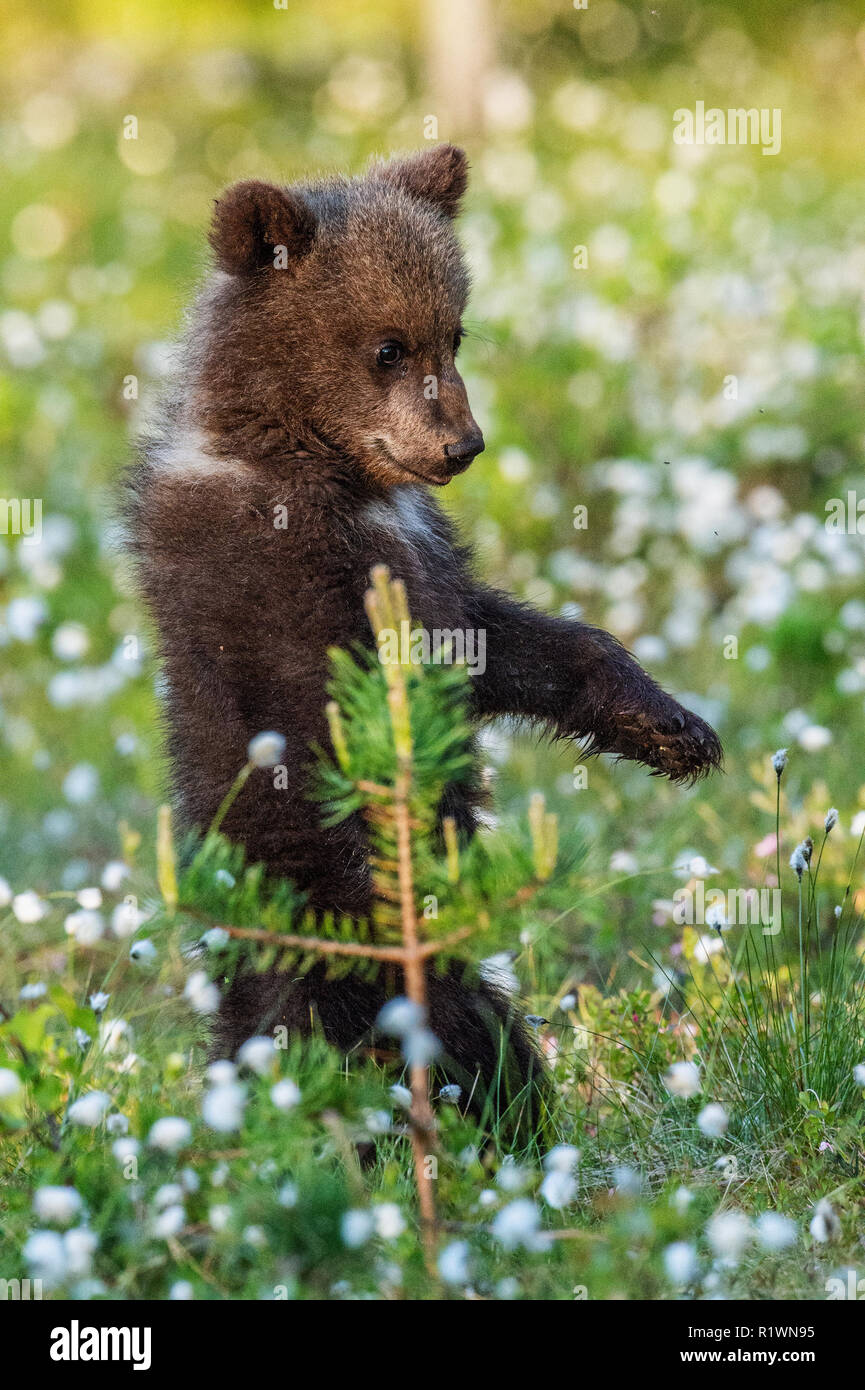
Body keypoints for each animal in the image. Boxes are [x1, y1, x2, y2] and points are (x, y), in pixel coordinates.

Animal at [125, 144, 721, 1129]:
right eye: (387, 346)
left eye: (455, 332)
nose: (462, 443)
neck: (325, 469)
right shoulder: (283, 585)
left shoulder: (423, 560)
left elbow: (516, 643)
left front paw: (674, 729)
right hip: (330, 933)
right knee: (431, 1022)